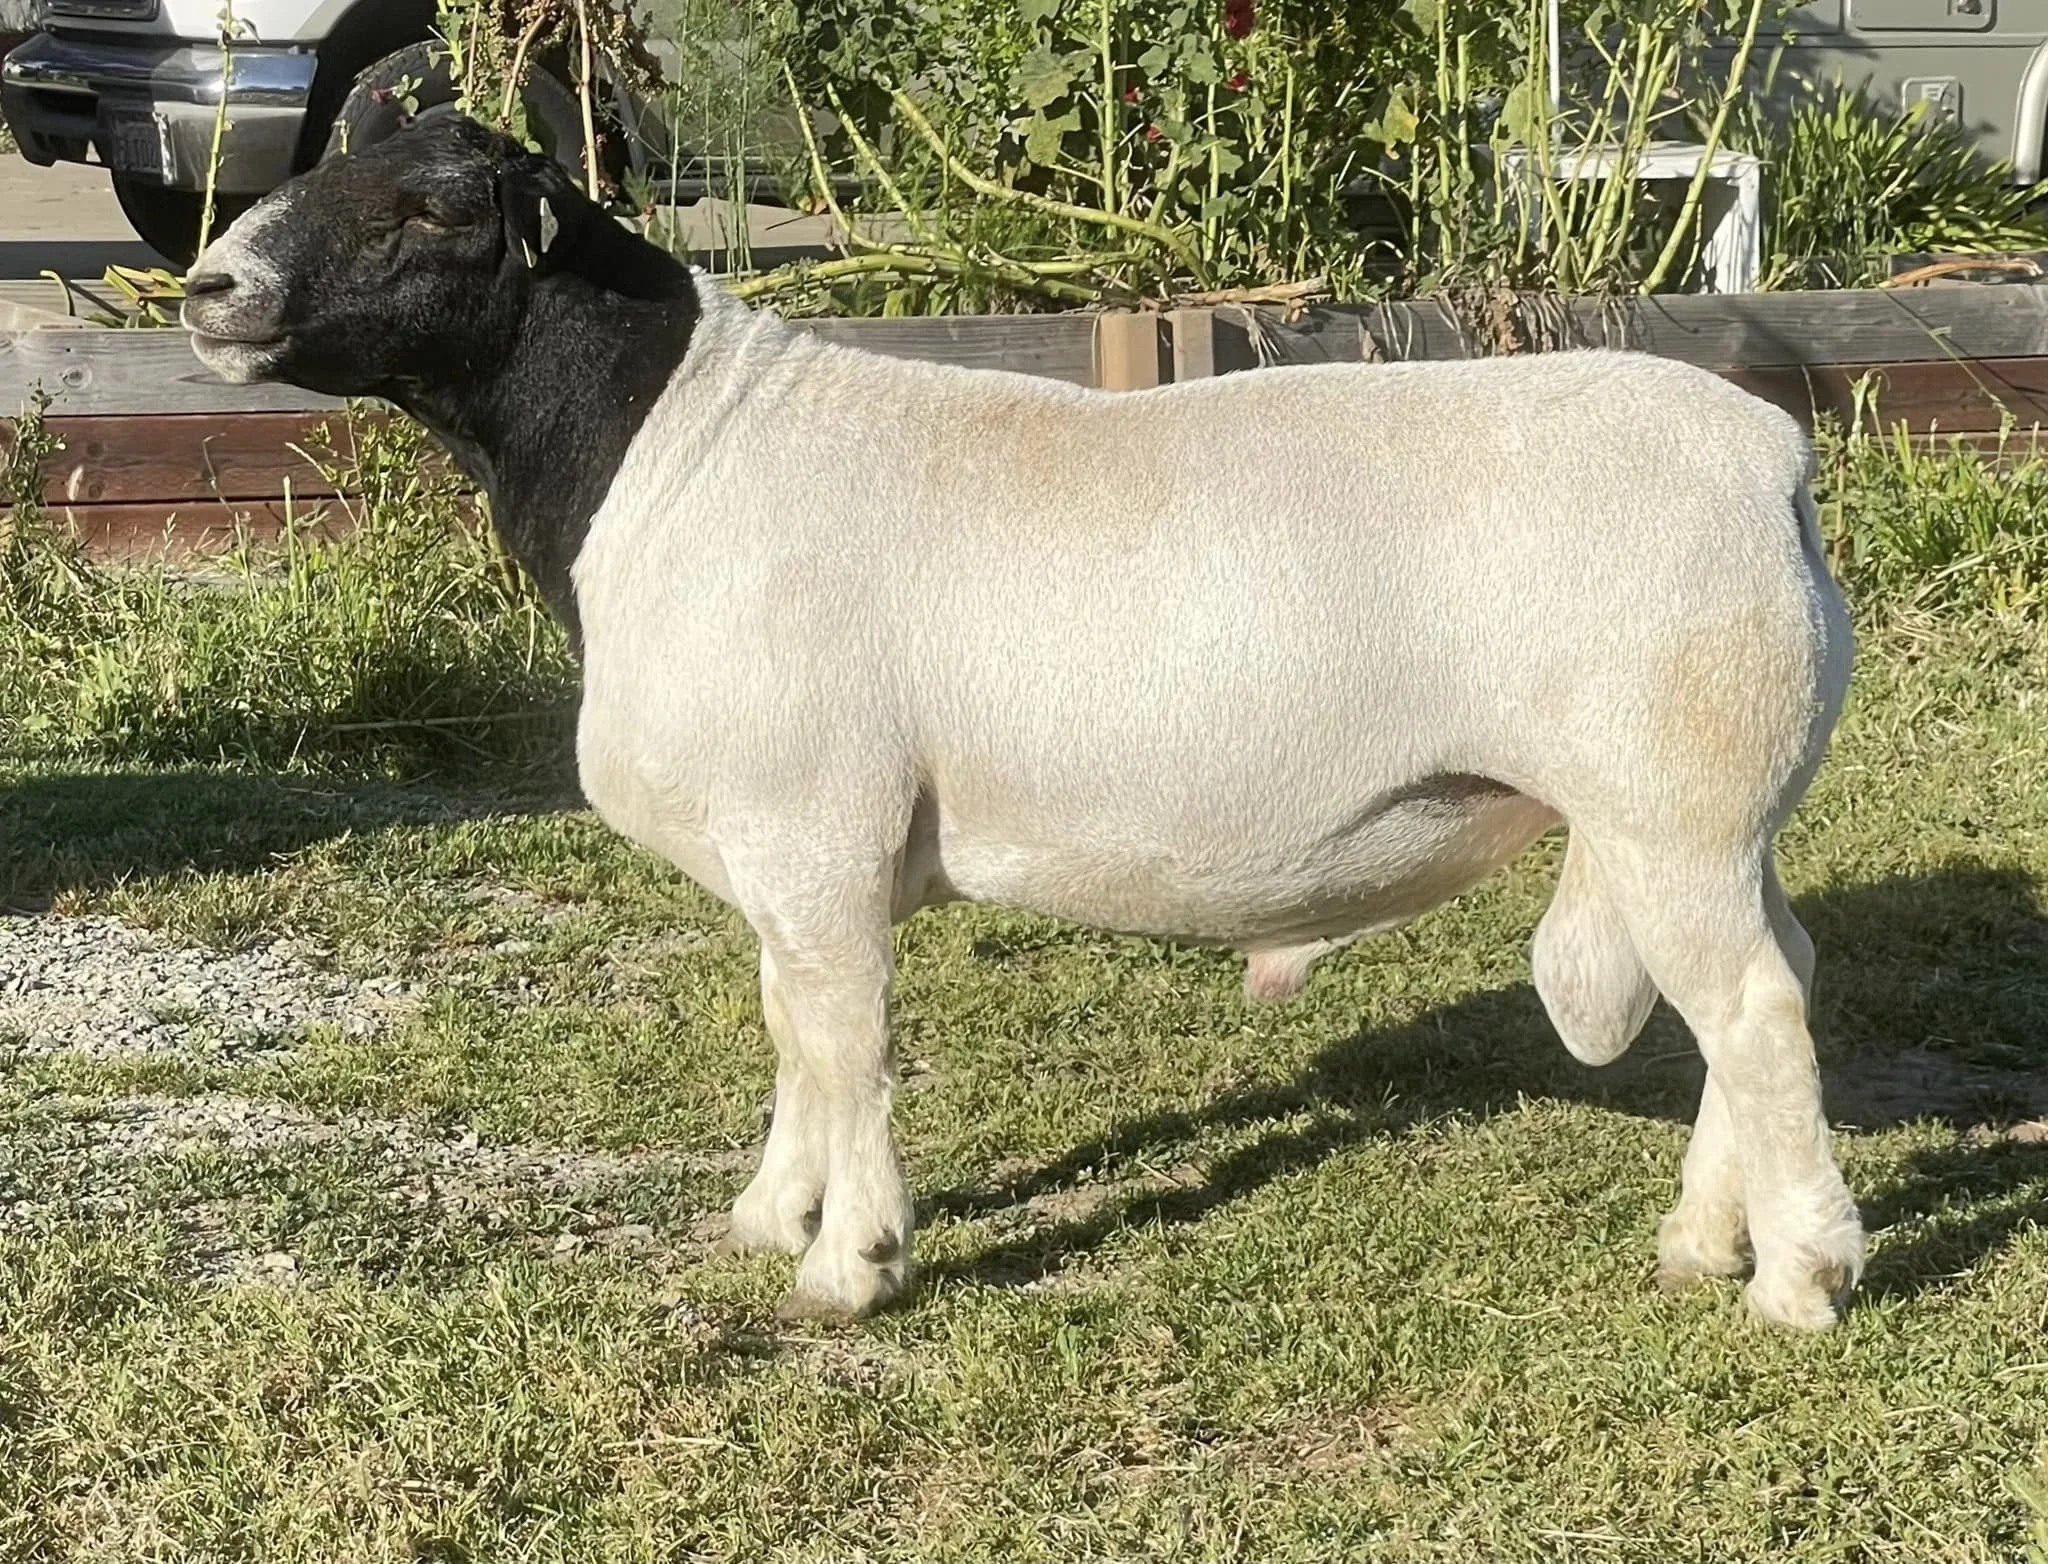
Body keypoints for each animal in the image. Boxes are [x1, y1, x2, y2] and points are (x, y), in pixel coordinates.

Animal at [181, 114, 1863, 1329]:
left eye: (437, 210)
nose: (207, 291)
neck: (672, 454)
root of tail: (1764, 452)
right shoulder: (783, 853)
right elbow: (789, 1028)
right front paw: (771, 1212)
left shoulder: (816, 825)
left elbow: (842, 1040)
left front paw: (850, 1266)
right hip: (1720, 813)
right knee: (1773, 982)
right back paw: (1707, 1239)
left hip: (1673, 793)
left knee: (1753, 1012)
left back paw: (1798, 1282)